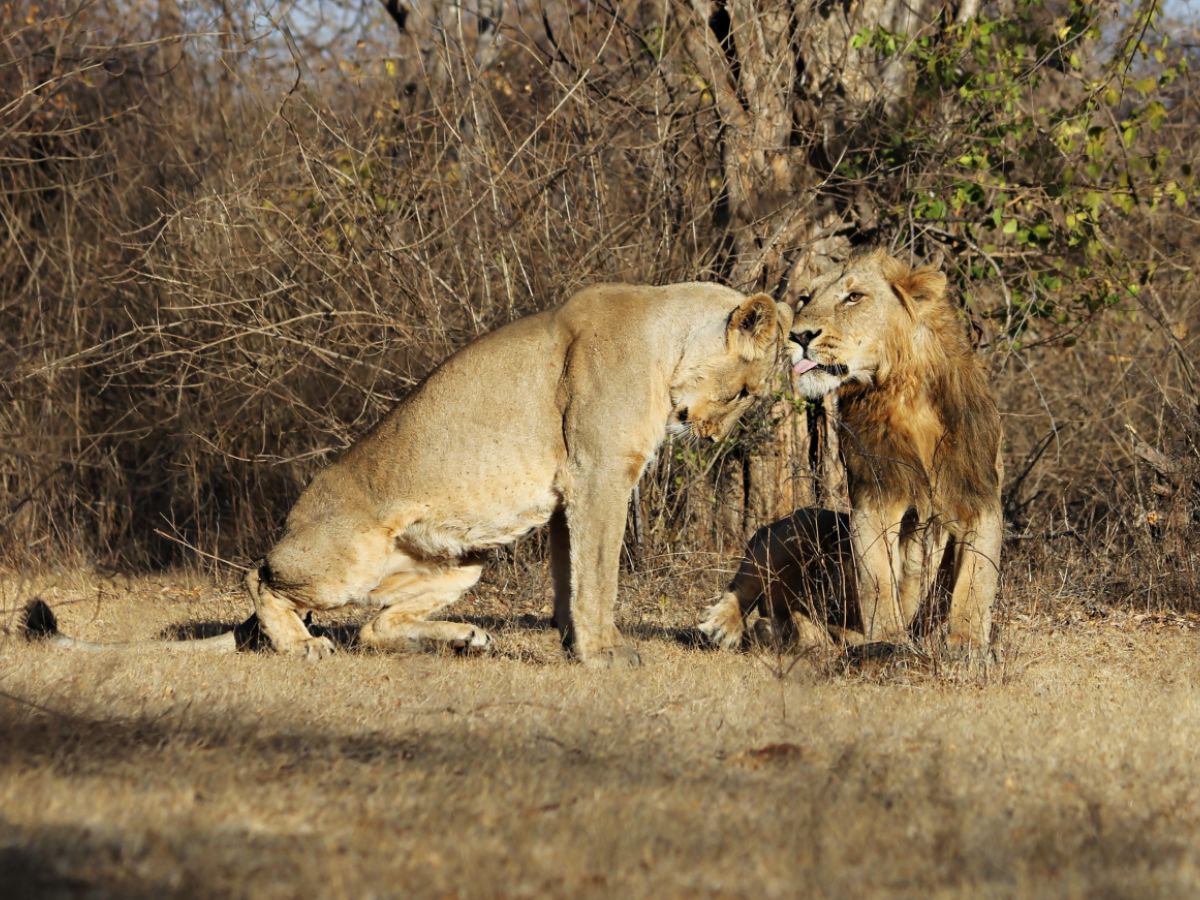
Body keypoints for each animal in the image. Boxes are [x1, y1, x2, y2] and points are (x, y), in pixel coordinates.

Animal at [26, 283, 798, 668]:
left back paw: (465, 640)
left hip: (464, 563)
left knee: (374, 628)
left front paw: (574, 649)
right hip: (342, 555)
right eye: (747, 391)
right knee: (260, 577)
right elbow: (599, 577)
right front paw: (606, 655)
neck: (667, 338)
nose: (714, 434)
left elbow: (570, 577)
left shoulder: (567, 496)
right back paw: (302, 646)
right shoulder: (600, 477)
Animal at [700, 249, 1002, 659]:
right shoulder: (874, 498)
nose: (798, 335)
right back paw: (723, 626)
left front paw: (966, 645)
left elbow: (975, 581)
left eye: (854, 297)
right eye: (805, 298)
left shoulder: (979, 496)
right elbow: (877, 578)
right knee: (747, 583)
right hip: (789, 527)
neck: (904, 393)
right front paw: (889, 640)